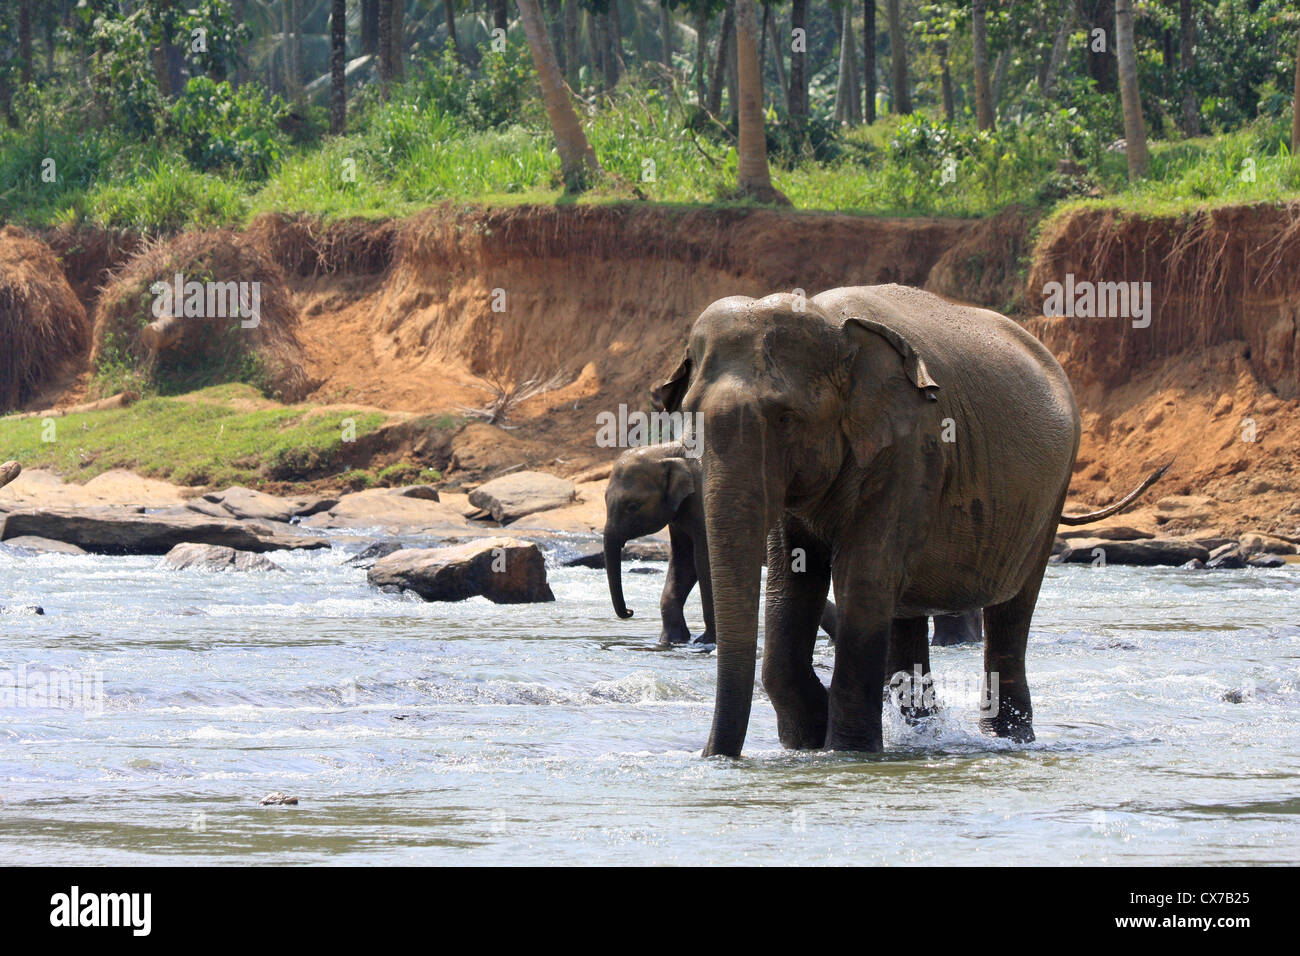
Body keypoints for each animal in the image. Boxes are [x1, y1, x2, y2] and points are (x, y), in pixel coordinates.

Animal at [603, 440, 837, 646]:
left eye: (632, 506)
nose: (630, 612)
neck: (674, 452)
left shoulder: (704, 508)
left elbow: (704, 562)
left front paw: (706, 641)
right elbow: (683, 561)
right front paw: (673, 641)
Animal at [655, 284, 1166, 757]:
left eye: (785, 418)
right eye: (690, 418)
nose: (712, 756)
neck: (834, 325)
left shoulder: (911, 447)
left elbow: (862, 577)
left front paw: (848, 751)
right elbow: (792, 580)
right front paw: (809, 739)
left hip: (1050, 496)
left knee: (1012, 608)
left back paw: (1009, 739)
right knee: (905, 612)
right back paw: (925, 730)